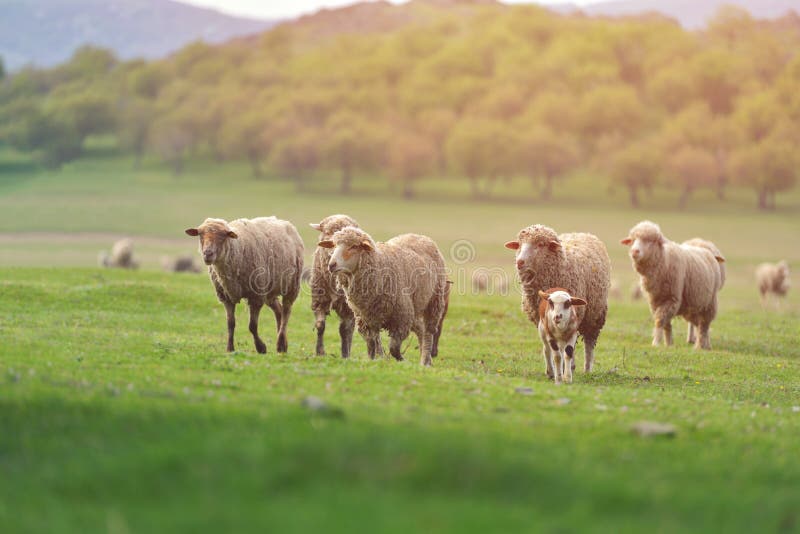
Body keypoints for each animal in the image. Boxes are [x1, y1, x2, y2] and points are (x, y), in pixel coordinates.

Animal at [185, 217, 303, 354]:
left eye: (222, 236)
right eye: (200, 235)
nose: (208, 254)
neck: (236, 249)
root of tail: (285, 222)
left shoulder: (256, 297)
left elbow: (252, 326)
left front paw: (261, 347)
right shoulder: (226, 297)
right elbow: (230, 324)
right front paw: (230, 348)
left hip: (291, 285)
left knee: (286, 312)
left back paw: (280, 343)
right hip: (269, 290)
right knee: (279, 311)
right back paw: (283, 345)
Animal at [309, 214, 372, 359]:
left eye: (352, 245)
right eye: (327, 233)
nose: (334, 256)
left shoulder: (347, 307)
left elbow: (345, 330)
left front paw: (345, 353)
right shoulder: (319, 300)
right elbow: (320, 325)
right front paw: (320, 352)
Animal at [317, 226, 448, 366]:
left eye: (354, 246)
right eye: (334, 245)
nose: (331, 265)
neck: (379, 267)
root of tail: (419, 235)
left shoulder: (401, 319)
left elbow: (394, 348)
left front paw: (402, 360)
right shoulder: (367, 320)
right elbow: (371, 344)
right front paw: (374, 360)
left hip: (434, 301)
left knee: (428, 332)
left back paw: (425, 361)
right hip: (413, 308)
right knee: (420, 329)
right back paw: (427, 360)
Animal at [505, 225, 610, 375]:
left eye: (540, 244)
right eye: (519, 244)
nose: (520, 262)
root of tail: (582, 233)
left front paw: (564, 369)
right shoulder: (541, 320)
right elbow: (549, 347)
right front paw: (552, 370)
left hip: (595, 314)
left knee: (589, 343)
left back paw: (586, 369)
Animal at [620, 221, 725, 350]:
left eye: (651, 240)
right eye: (632, 240)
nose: (634, 251)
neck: (664, 261)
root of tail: (706, 251)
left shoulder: (672, 299)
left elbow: (660, 320)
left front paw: (656, 343)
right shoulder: (655, 302)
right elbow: (666, 324)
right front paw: (668, 343)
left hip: (709, 303)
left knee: (704, 326)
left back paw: (701, 346)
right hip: (693, 305)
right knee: (698, 324)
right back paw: (703, 344)